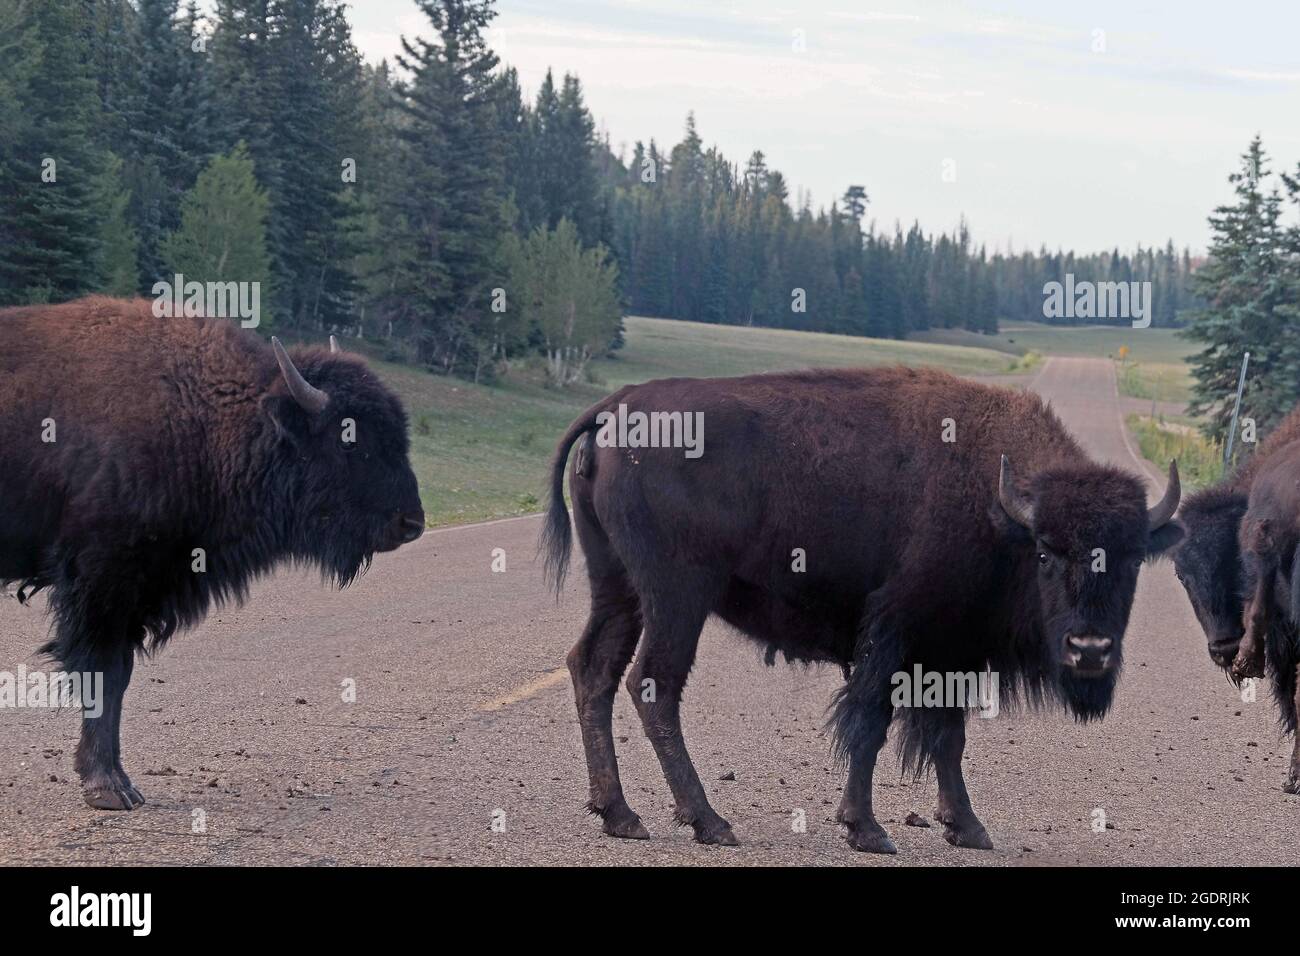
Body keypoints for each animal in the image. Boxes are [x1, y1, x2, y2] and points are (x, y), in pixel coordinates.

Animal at [0, 297, 425, 809]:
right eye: (350, 438)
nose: (411, 523)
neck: (205, 415)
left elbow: (119, 676)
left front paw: (118, 782)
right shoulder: (103, 580)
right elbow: (104, 672)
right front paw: (108, 786)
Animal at [542, 367, 1181, 852]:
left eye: (1131, 559)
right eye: (1046, 553)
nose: (1090, 650)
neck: (999, 510)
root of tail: (614, 408)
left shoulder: (949, 652)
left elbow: (948, 737)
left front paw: (967, 828)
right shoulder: (894, 633)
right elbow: (871, 722)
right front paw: (867, 829)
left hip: (619, 588)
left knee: (594, 670)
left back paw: (620, 815)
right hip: (678, 597)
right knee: (653, 685)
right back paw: (709, 822)